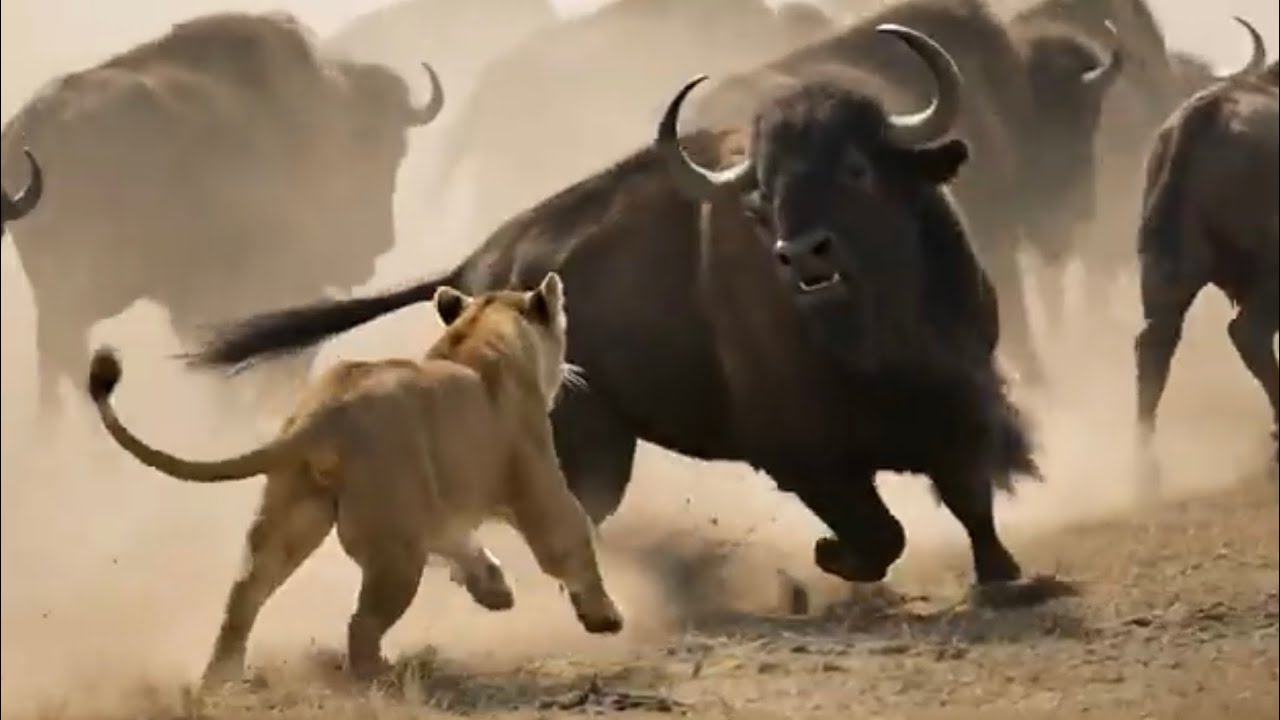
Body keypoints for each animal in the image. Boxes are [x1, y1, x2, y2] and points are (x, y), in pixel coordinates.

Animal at [84, 271, 624, 684]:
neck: (482, 331)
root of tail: (323, 416)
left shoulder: (438, 508)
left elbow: (462, 543)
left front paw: (494, 590)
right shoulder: (535, 480)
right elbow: (568, 538)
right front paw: (605, 618)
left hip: (291, 516)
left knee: (243, 597)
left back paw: (221, 682)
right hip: (396, 551)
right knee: (361, 627)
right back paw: (383, 677)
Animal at [190, 25, 1051, 602]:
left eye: (857, 167)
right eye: (762, 196)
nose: (802, 254)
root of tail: (473, 266)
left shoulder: (963, 400)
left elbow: (969, 498)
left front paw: (1007, 577)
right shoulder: (800, 457)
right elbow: (879, 534)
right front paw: (821, 561)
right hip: (587, 445)